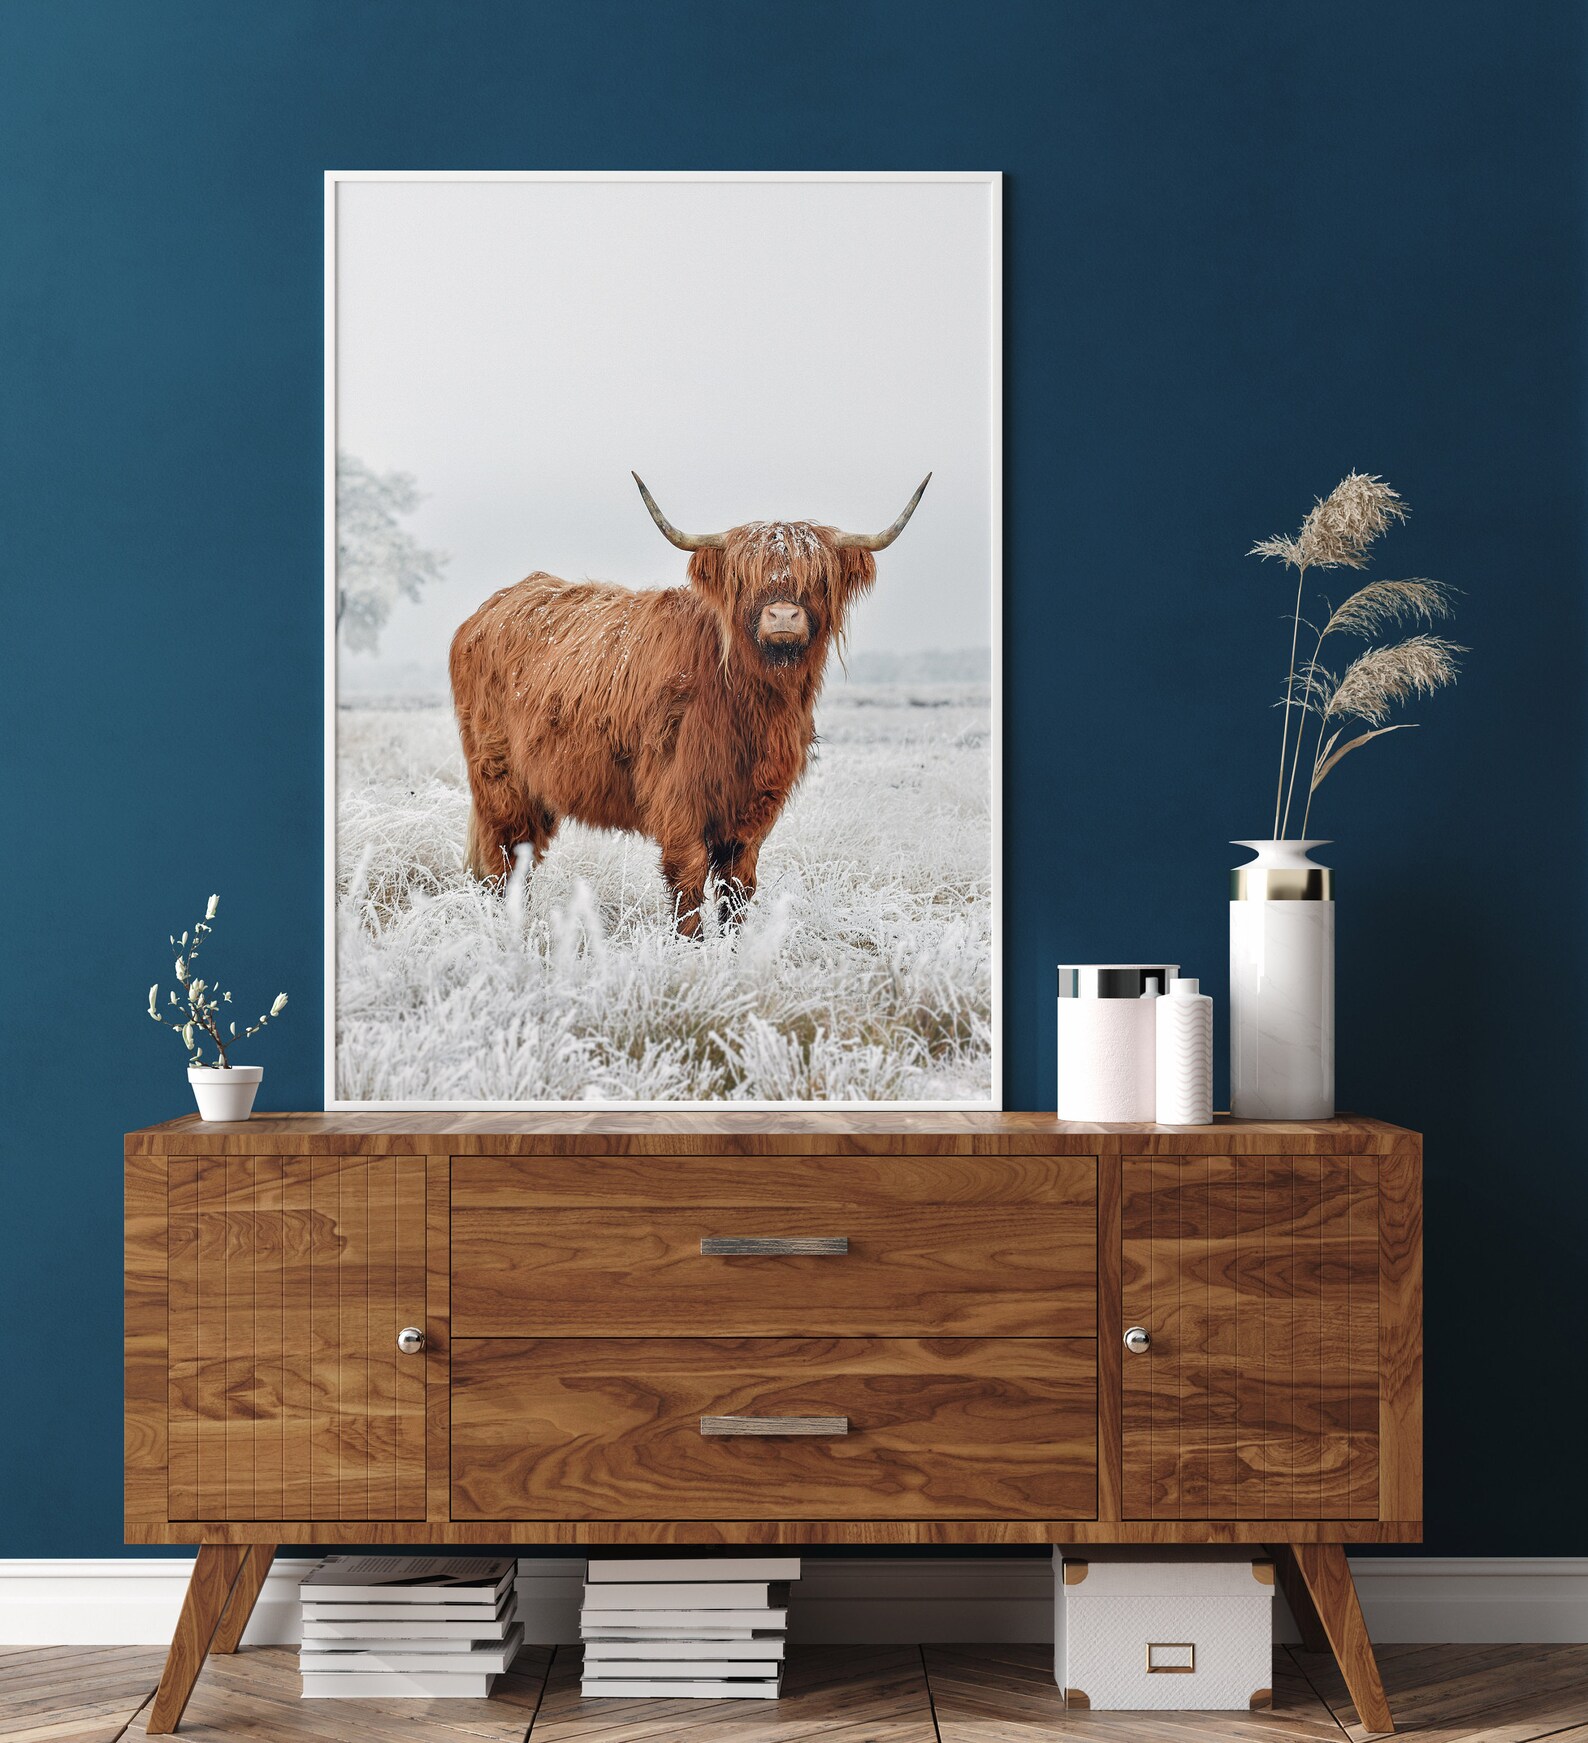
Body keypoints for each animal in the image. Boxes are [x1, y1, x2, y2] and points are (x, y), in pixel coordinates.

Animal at [448, 472, 930, 935]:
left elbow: (738, 886)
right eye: (744, 578)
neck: (752, 706)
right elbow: (689, 881)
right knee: (503, 857)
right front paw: (691, 947)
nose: (783, 616)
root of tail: (491, 608)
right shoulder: (679, 797)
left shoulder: (754, 809)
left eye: (818, 578)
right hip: (499, 778)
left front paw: (735, 945)